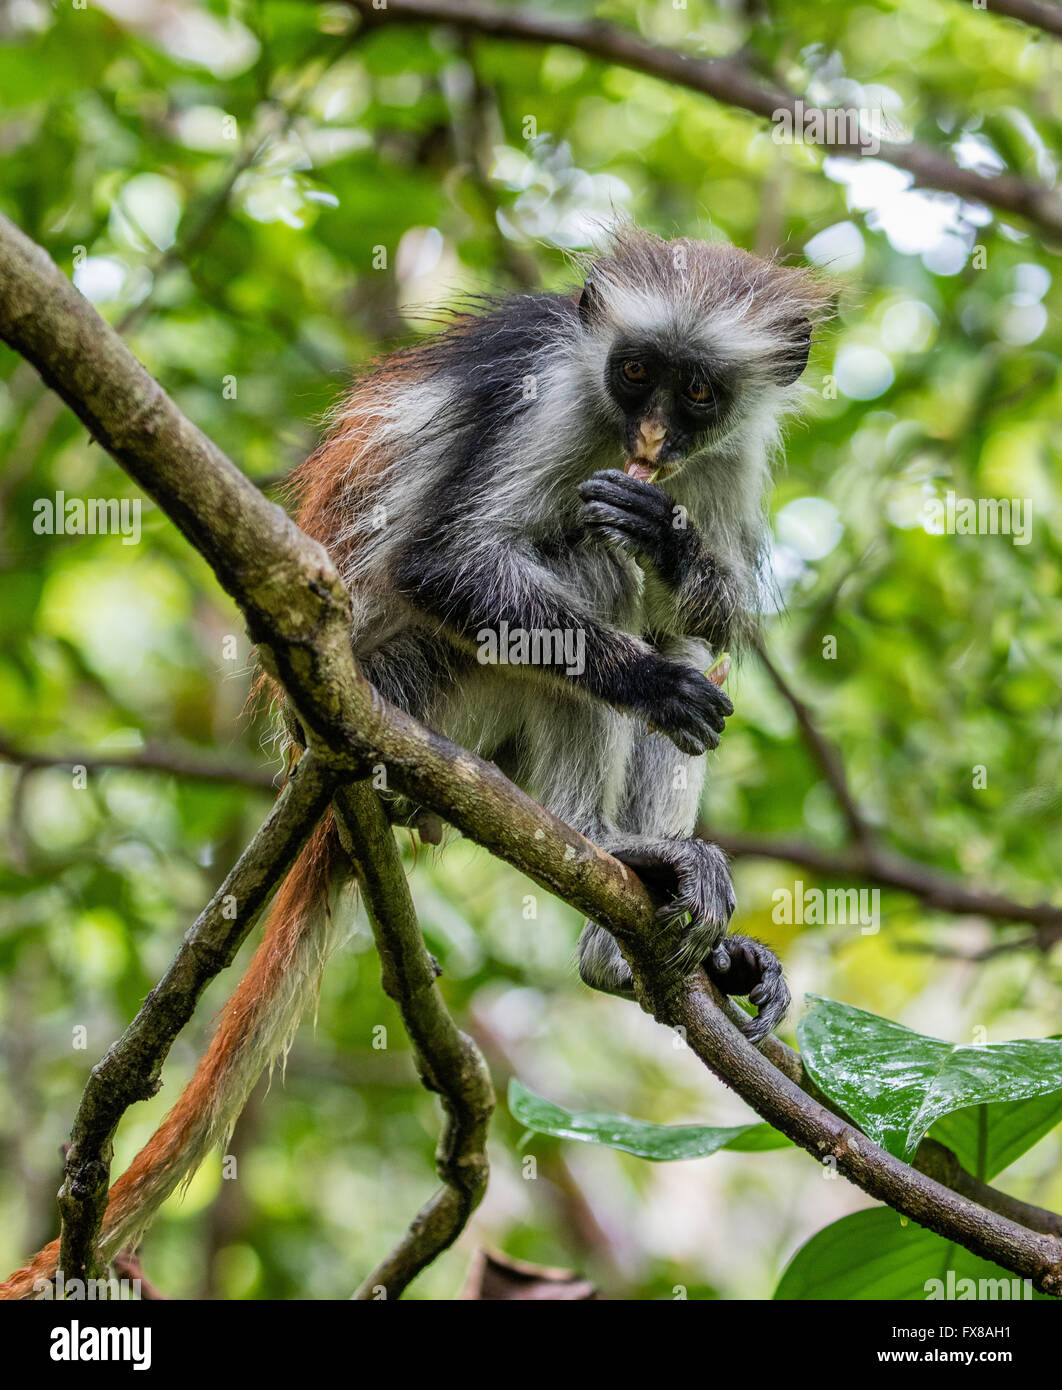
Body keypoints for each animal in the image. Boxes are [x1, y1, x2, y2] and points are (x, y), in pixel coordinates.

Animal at [2, 222, 828, 1295]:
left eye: (695, 392)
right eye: (635, 371)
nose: (652, 436)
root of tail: (326, 737)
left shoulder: (726, 456)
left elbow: (713, 616)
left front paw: (678, 551)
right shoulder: (550, 395)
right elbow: (440, 562)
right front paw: (647, 682)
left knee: (671, 623)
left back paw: (638, 934)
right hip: (426, 685)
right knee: (596, 573)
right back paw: (611, 850)